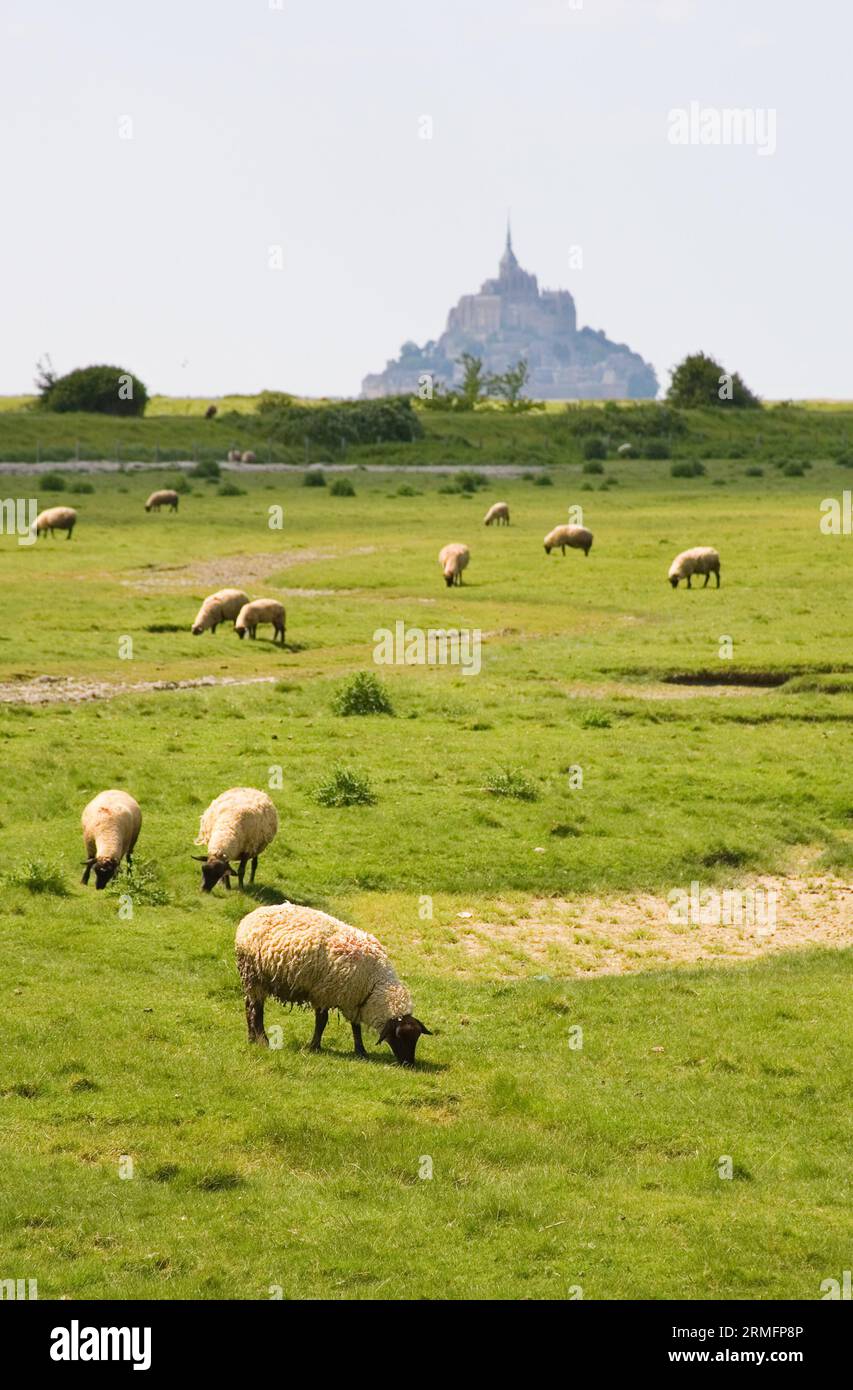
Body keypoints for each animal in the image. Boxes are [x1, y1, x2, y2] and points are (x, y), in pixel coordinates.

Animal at [235, 902, 432, 1065]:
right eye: (399, 1036)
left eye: (416, 1038)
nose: (409, 1063)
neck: (374, 982)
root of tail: (250, 916)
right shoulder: (323, 993)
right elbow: (322, 1022)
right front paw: (314, 1046)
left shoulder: (353, 1001)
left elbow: (355, 1027)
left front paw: (361, 1051)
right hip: (254, 975)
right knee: (256, 1010)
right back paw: (263, 1041)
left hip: (252, 979)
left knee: (248, 1006)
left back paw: (251, 1038)